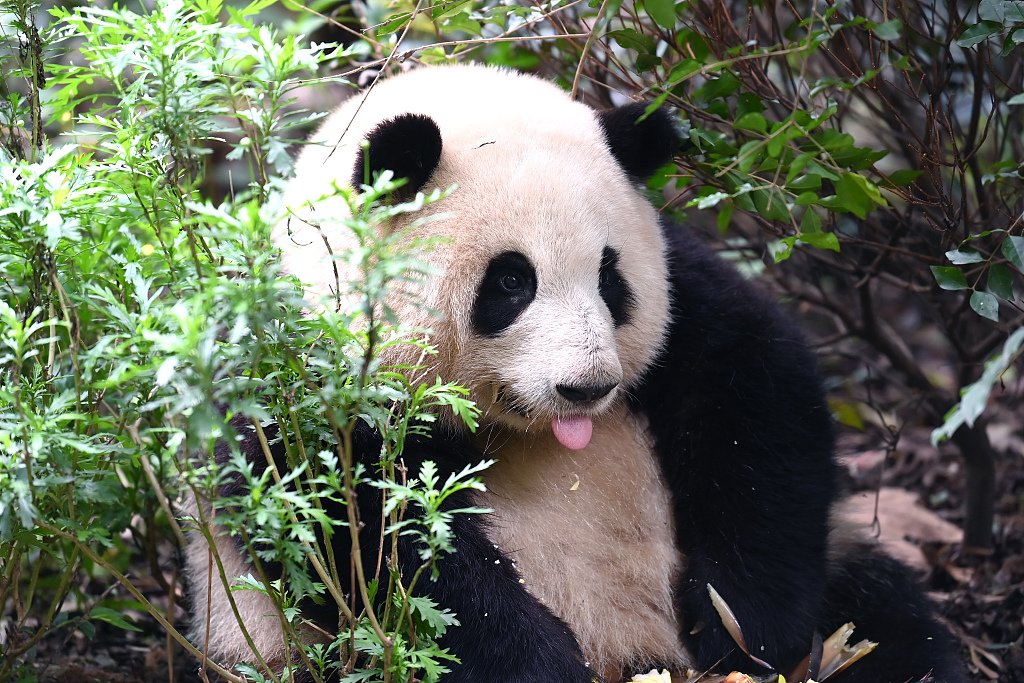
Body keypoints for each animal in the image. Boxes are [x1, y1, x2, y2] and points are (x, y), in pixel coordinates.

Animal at [184, 64, 968, 682]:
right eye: (511, 281)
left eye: (609, 278)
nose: (587, 388)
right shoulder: (292, 372)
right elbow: (358, 532)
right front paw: (539, 662)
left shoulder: (685, 296)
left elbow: (760, 398)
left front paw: (738, 631)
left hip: (843, 572)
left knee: (889, 625)